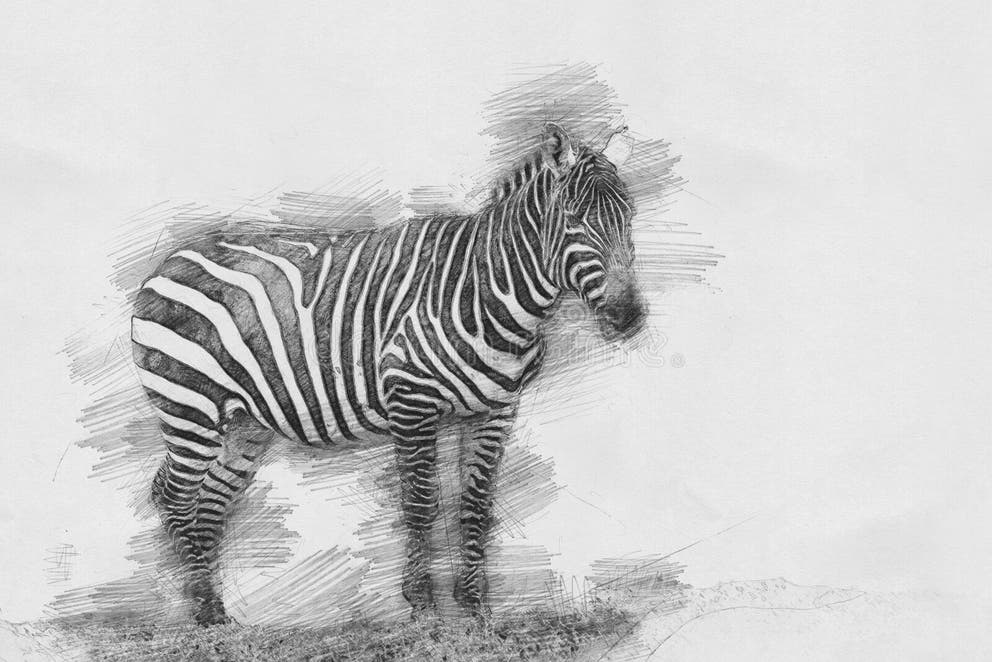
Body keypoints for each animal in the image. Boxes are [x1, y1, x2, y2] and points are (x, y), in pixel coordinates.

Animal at [131, 123, 647, 626]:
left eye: (629, 217)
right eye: (574, 219)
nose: (629, 317)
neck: (488, 292)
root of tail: (173, 258)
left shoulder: (496, 409)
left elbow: (476, 504)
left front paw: (475, 608)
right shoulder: (412, 401)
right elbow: (419, 502)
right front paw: (423, 606)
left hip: (243, 423)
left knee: (208, 501)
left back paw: (215, 616)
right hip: (191, 405)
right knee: (175, 494)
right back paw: (202, 609)